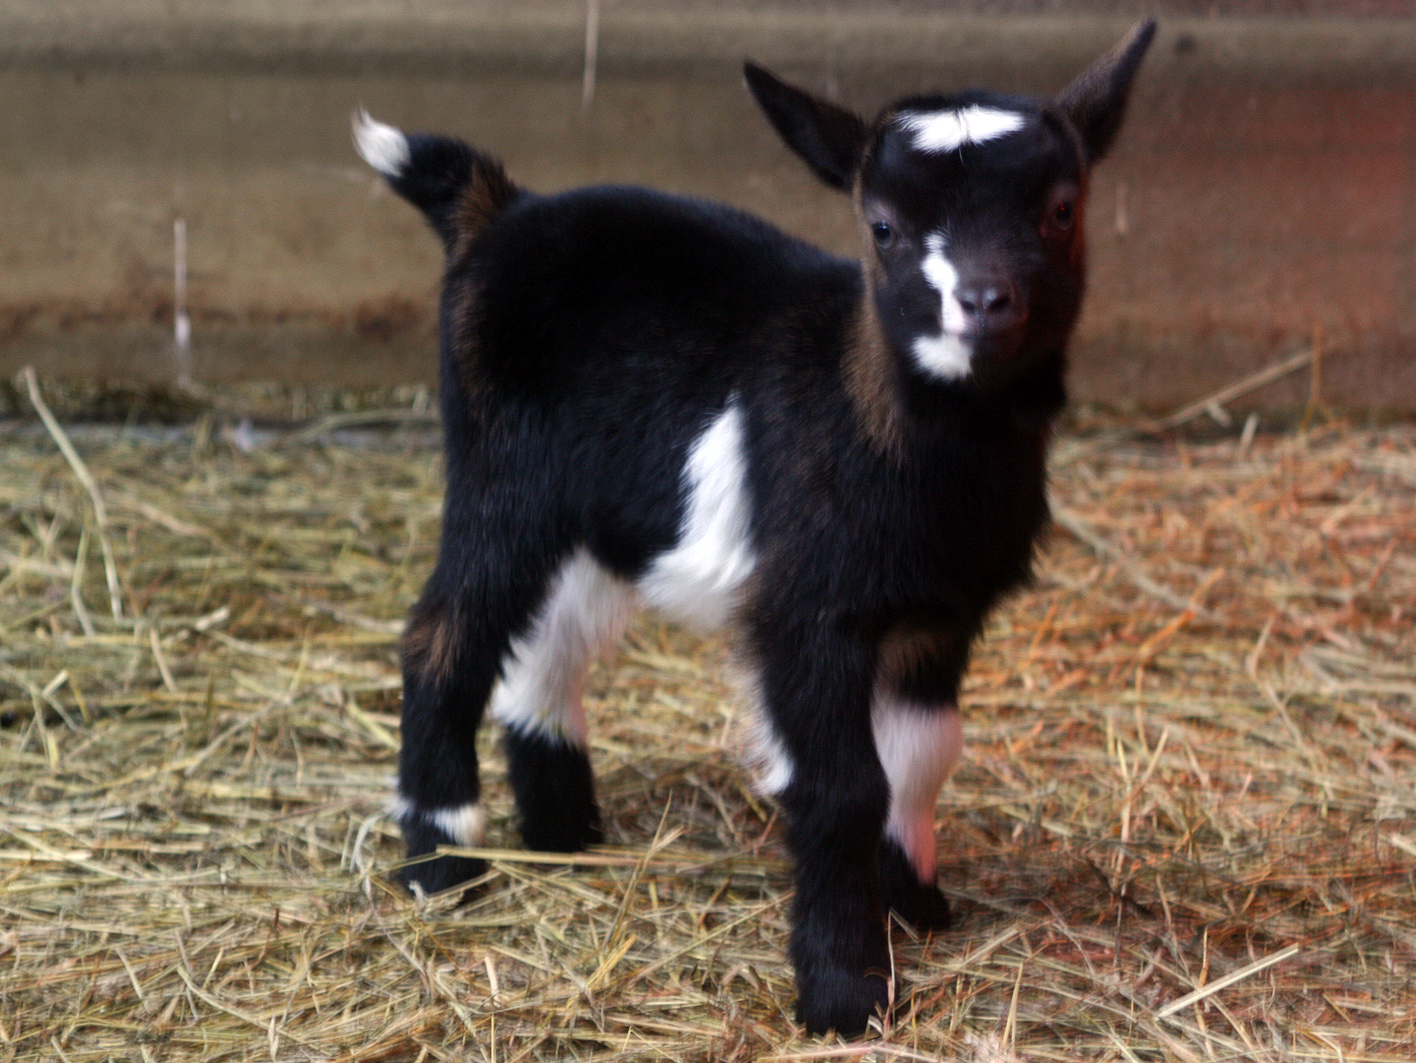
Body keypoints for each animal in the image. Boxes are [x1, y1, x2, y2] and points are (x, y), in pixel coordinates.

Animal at [355, 19, 1155, 1036]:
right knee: (445, 630)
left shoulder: (939, 616)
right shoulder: (807, 609)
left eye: (1061, 208)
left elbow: (924, 755)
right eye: (882, 225)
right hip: (502, 475)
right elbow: (841, 783)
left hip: (592, 512)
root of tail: (498, 209)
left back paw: (565, 831)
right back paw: (444, 856)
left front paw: (915, 904)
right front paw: (846, 988)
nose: (980, 301)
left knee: (547, 638)